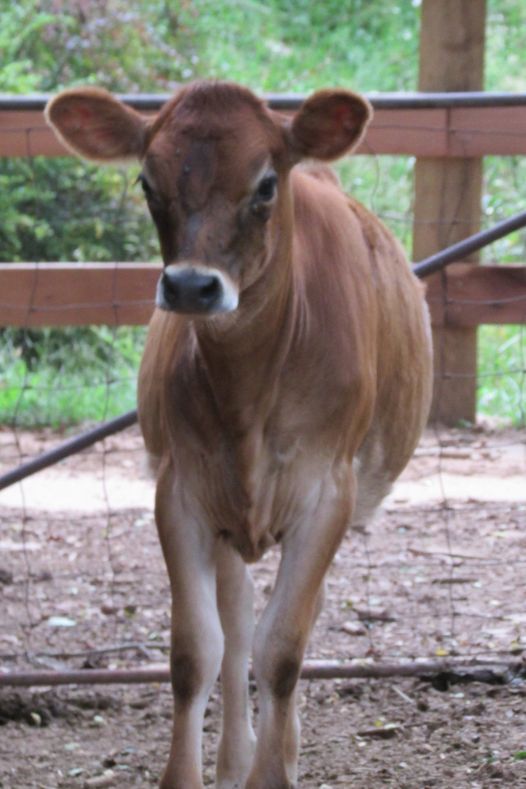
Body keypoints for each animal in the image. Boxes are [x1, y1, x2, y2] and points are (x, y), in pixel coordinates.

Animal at [46, 80, 433, 789]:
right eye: (146, 180)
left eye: (266, 184)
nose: (191, 286)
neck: (249, 392)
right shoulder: (180, 494)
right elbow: (197, 651)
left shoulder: (327, 494)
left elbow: (283, 649)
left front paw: (274, 772)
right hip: (229, 514)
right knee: (236, 625)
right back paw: (234, 758)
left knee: (284, 625)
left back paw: (282, 748)